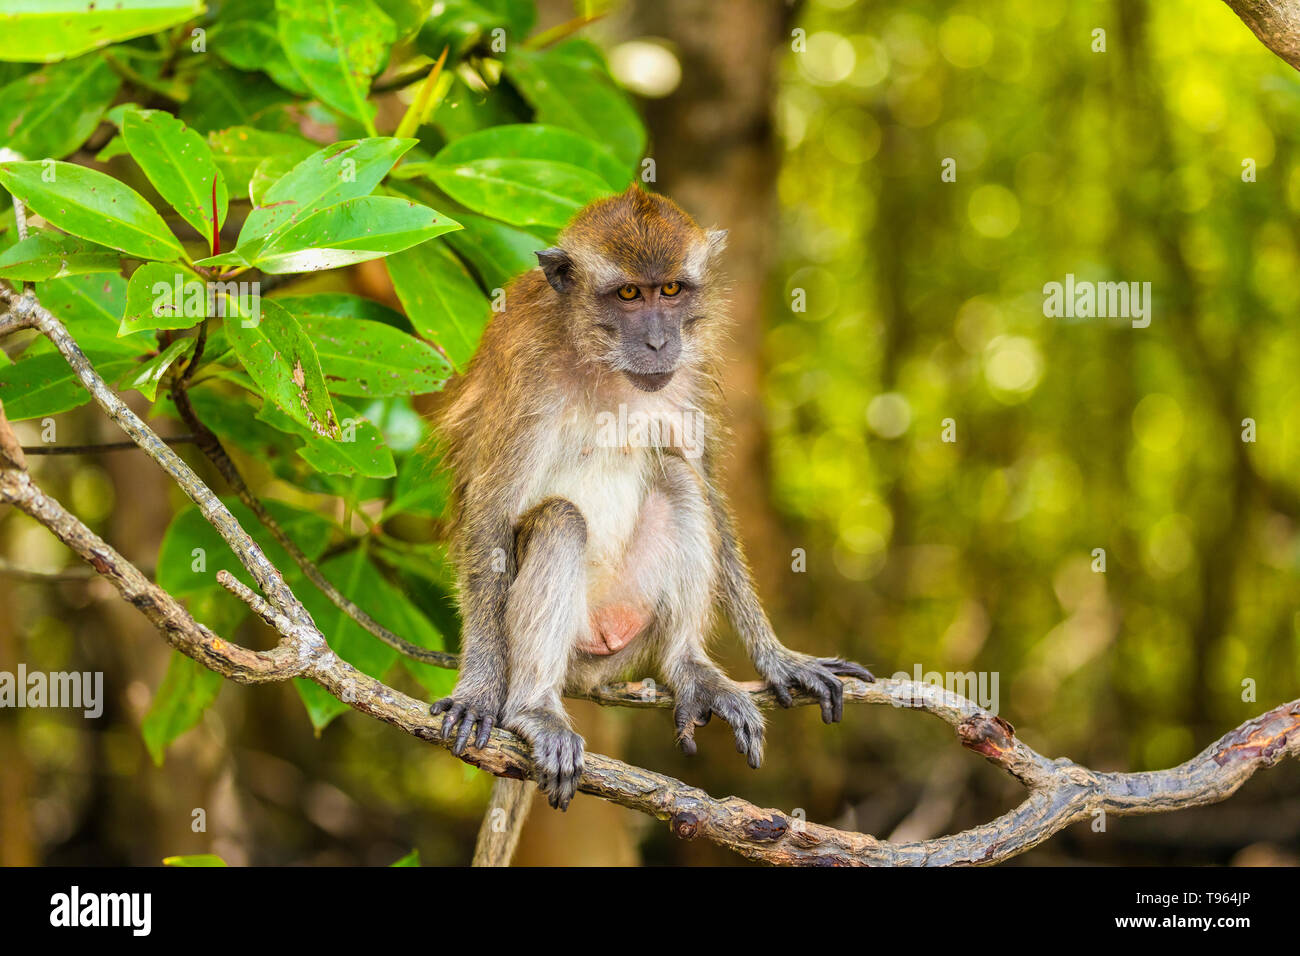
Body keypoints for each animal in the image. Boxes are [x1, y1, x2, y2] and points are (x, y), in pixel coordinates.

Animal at [430, 184, 873, 866]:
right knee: (559, 521)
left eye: (670, 290)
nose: (662, 343)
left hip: (631, 631)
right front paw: (478, 691)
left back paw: (686, 664)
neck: (597, 357)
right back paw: (531, 707)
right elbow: (488, 515)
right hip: (577, 644)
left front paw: (777, 658)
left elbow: (706, 483)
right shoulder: (525, 369)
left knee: (675, 478)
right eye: (628, 296)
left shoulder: (692, 368)